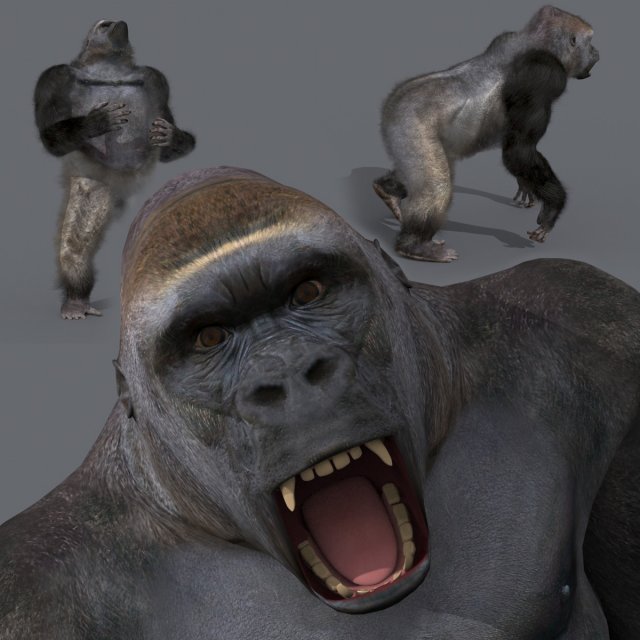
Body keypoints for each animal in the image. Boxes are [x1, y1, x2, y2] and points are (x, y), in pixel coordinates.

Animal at [34, 19, 196, 319]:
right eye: (105, 24)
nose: (120, 23)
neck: (110, 67)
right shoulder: (53, 78)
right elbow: (49, 135)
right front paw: (93, 124)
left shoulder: (157, 79)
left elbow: (167, 140)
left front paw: (173, 137)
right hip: (98, 183)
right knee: (76, 246)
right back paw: (76, 302)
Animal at [373, 6, 599, 262]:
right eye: (589, 43)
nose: (596, 52)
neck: (537, 39)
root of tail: (391, 102)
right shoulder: (544, 74)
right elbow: (519, 149)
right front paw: (553, 207)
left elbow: (518, 154)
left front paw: (526, 185)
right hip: (406, 122)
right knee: (436, 186)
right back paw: (415, 246)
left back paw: (387, 191)